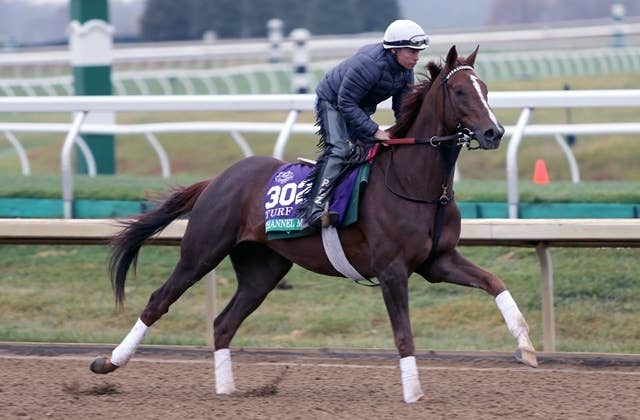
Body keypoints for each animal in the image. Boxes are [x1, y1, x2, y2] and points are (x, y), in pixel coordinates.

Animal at [90, 46, 538, 404]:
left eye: (486, 89)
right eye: (461, 91)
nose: (494, 132)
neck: (415, 182)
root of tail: (218, 178)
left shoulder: (437, 261)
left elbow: (495, 282)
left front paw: (527, 346)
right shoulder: (392, 270)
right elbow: (403, 333)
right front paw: (413, 393)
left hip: (262, 269)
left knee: (223, 323)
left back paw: (226, 389)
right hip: (202, 251)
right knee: (159, 301)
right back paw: (108, 362)